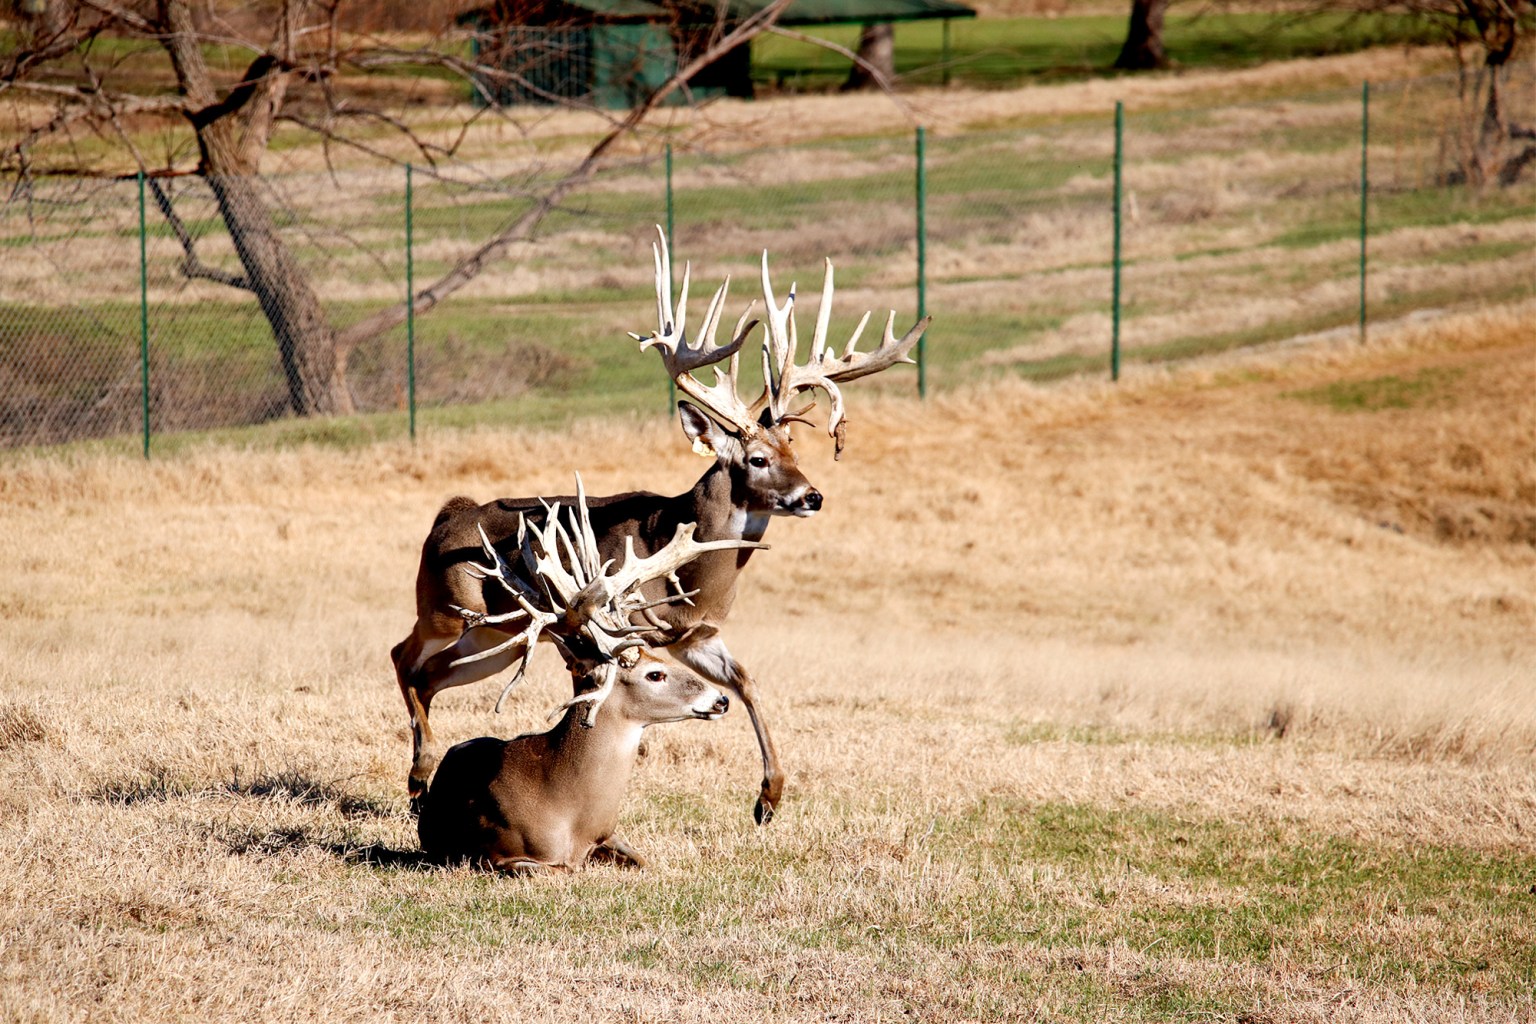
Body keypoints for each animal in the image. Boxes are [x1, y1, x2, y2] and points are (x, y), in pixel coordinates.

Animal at [392, 227, 930, 824]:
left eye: (795, 450)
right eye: (757, 460)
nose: (811, 495)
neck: (691, 570)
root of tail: (447, 516)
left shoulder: (699, 635)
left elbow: (747, 681)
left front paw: (769, 797)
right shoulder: (613, 628)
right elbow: (599, 688)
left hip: (497, 637)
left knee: (425, 675)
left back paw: (419, 783)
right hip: (455, 613)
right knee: (404, 656)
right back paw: (420, 771)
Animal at [416, 479, 758, 873]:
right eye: (655, 674)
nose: (721, 699)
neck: (567, 806)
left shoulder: (610, 835)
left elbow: (642, 860)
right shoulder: (499, 854)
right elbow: (548, 870)